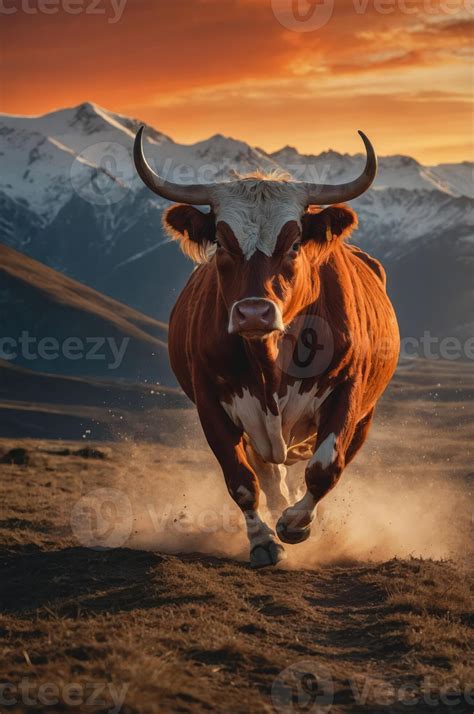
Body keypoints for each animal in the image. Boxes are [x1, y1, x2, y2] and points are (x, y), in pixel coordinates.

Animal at [134, 127, 400, 569]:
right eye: (221, 243)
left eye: (294, 244)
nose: (253, 313)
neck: (269, 362)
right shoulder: (211, 401)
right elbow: (241, 479)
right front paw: (262, 540)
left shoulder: (347, 391)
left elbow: (325, 467)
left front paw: (295, 524)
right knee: (269, 473)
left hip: (366, 414)